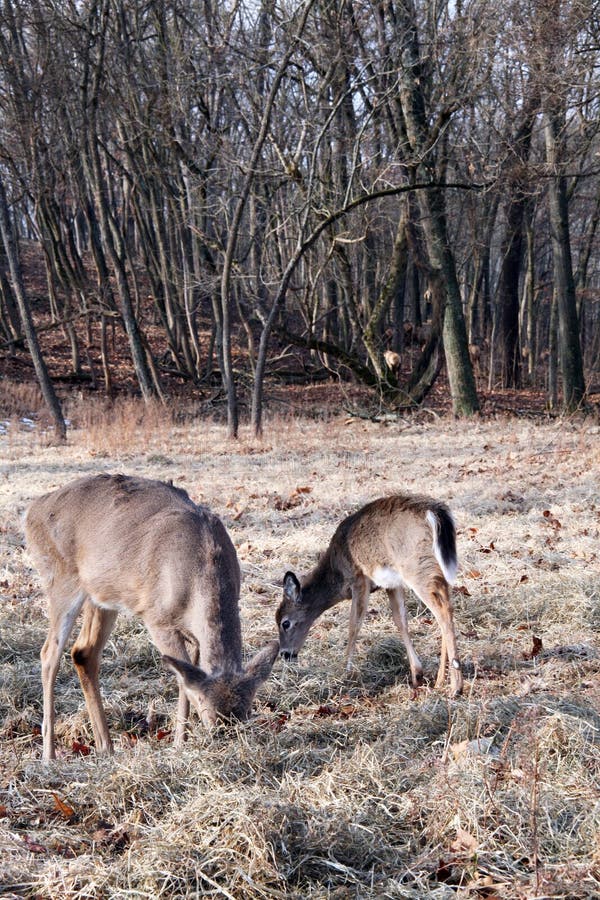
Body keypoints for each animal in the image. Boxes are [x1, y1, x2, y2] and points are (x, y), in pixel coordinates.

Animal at [25, 473, 280, 760]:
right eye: (209, 713)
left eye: (247, 712)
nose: (224, 738)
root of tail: (32, 511)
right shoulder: (156, 619)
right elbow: (182, 679)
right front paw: (179, 745)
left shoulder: (195, 636)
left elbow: (186, 678)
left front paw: (180, 741)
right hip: (60, 578)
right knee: (49, 654)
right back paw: (49, 755)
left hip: (102, 596)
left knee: (83, 652)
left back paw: (106, 747)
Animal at [276, 494, 463, 697]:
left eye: (285, 623)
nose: (285, 654)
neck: (337, 573)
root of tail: (435, 513)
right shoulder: (392, 584)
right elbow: (400, 621)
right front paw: (416, 675)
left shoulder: (359, 579)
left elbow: (353, 625)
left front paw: (345, 673)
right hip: (436, 567)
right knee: (445, 604)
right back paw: (440, 681)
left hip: (416, 567)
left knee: (443, 610)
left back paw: (455, 687)